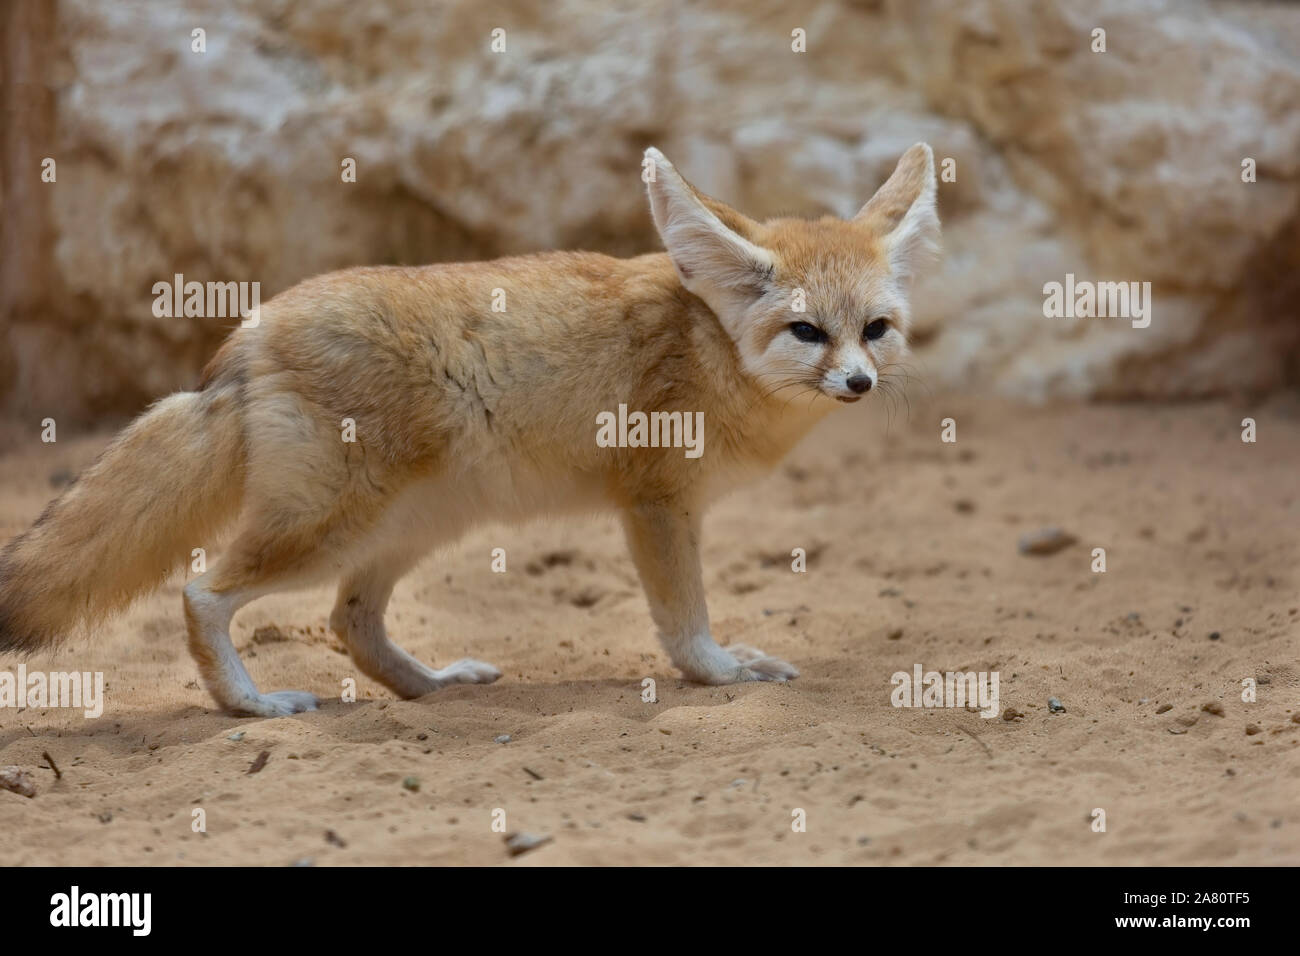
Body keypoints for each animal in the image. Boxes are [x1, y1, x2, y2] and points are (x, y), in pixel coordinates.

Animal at [0, 144, 940, 717]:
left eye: (875, 331)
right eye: (807, 332)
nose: (858, 382)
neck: (710, 342)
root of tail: (249, 332)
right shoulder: (655, 504)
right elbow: (684, 620)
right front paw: (716, 672)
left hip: (408, 527)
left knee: (351, 622)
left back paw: (431, 686)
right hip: (327, 526)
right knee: (203, 593)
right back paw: (255, 705)